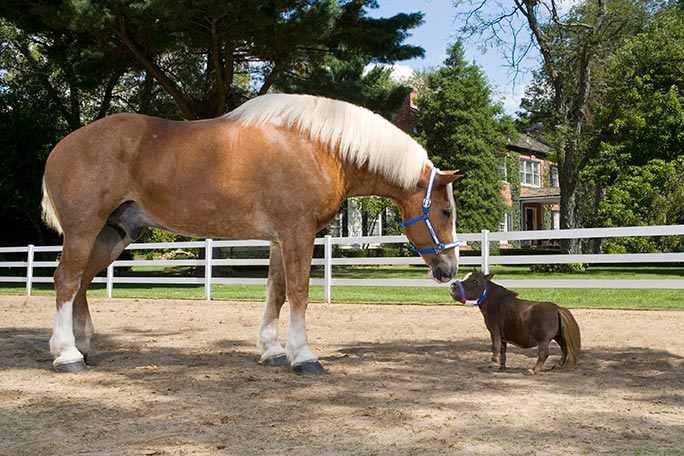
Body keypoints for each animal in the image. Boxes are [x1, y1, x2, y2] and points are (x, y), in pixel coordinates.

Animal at [41, 93, 462, 374]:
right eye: (445, 211)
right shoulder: (298, 233)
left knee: (83, 280)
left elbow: (276, 292)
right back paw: (66, 355)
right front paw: (303, 355)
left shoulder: (279, 239)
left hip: (115, 233)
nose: (450, 270)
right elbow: (298, 292)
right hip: (83, 229)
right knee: (66, 279)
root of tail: (61, 147)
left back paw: (81, 344)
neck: (321, 148)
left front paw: (273, 350)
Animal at [450, 270, 581, 374]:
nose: (453, 285)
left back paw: (534, 370)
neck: (496, 303)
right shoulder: (503, 336)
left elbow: (495, 347)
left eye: (475, 281)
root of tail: (557, 309)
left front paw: (493, 363)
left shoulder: (494, 332)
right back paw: (557, 365)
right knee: (564, 349)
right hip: (558, 336)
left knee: (544, 353)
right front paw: (502, 366)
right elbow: (502, 350)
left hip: (543, 340)